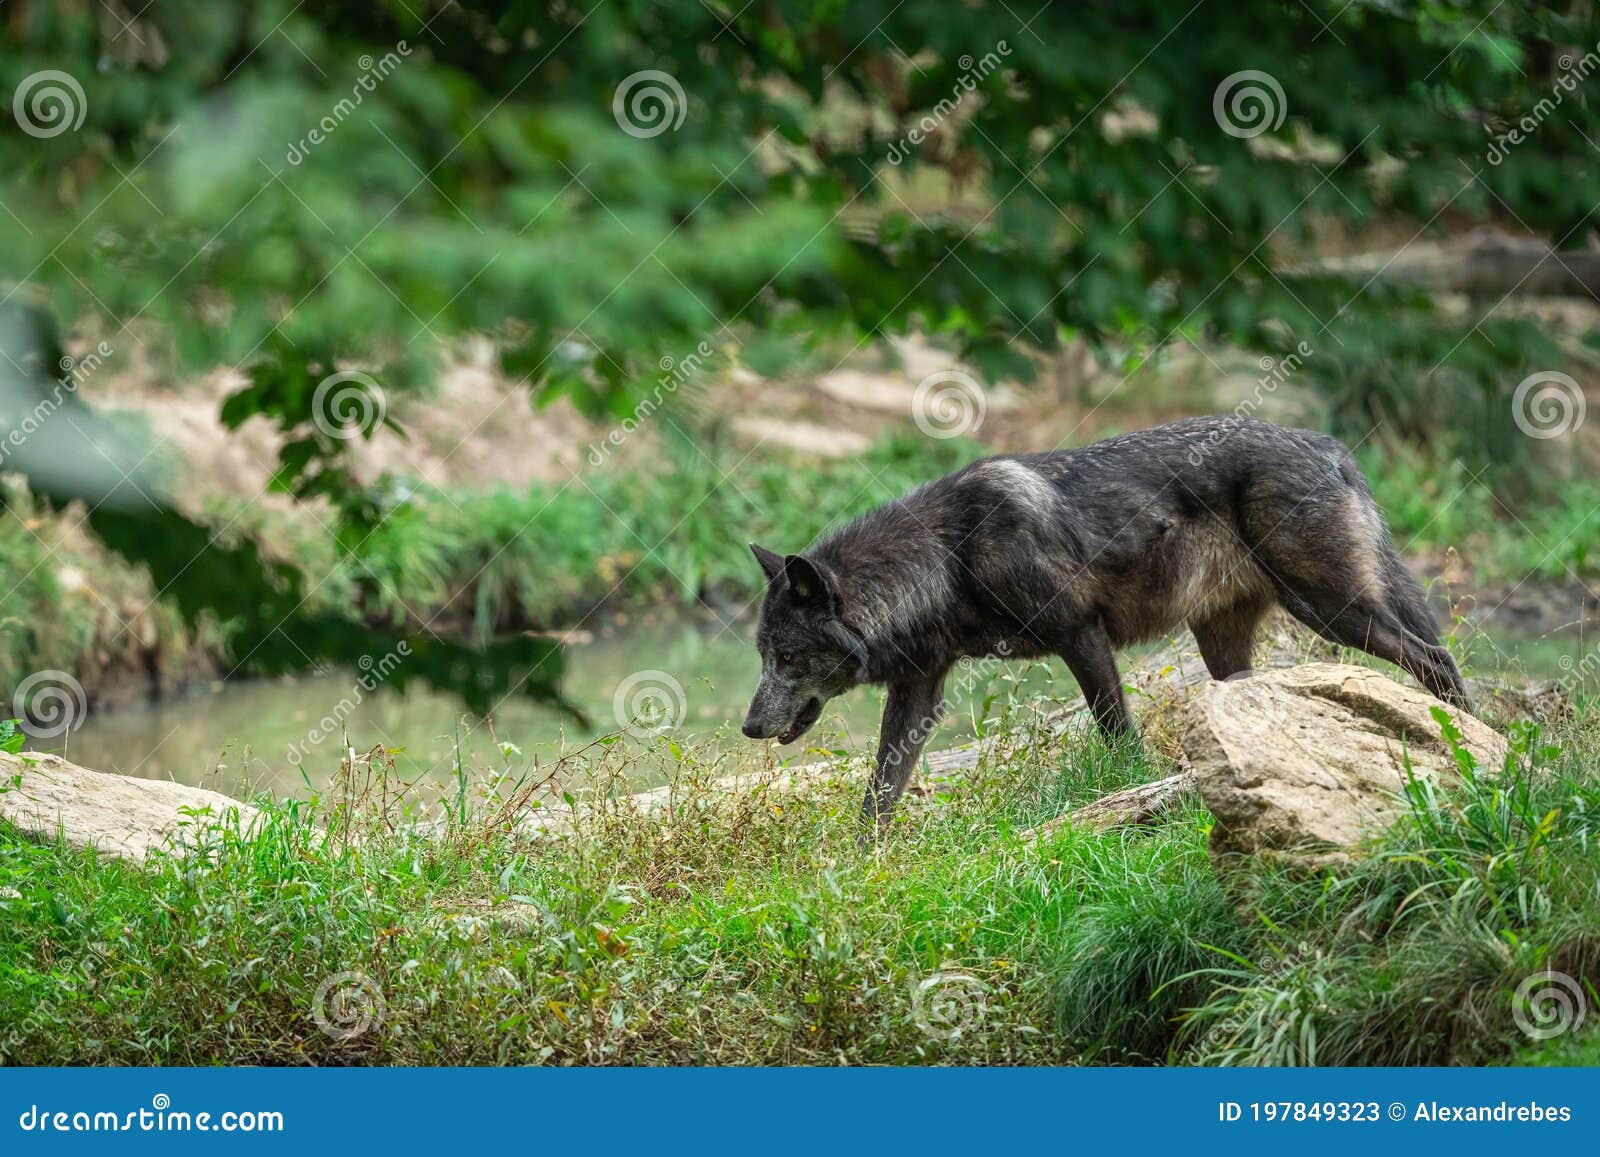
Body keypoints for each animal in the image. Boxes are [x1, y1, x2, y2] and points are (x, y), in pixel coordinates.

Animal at [741, 415, 1468, 835]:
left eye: (787, 657)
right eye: (764, 654)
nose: (748, 726)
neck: (948, 556)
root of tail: (1331, 446)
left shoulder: (1081, 636)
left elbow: (1116, 731)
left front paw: (1129, 796)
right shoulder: (918, 690)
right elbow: (881, 787)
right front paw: (861, 857)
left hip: (1331, 609)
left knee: (1433, 657)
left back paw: (1468, 736)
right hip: (1228, 645)